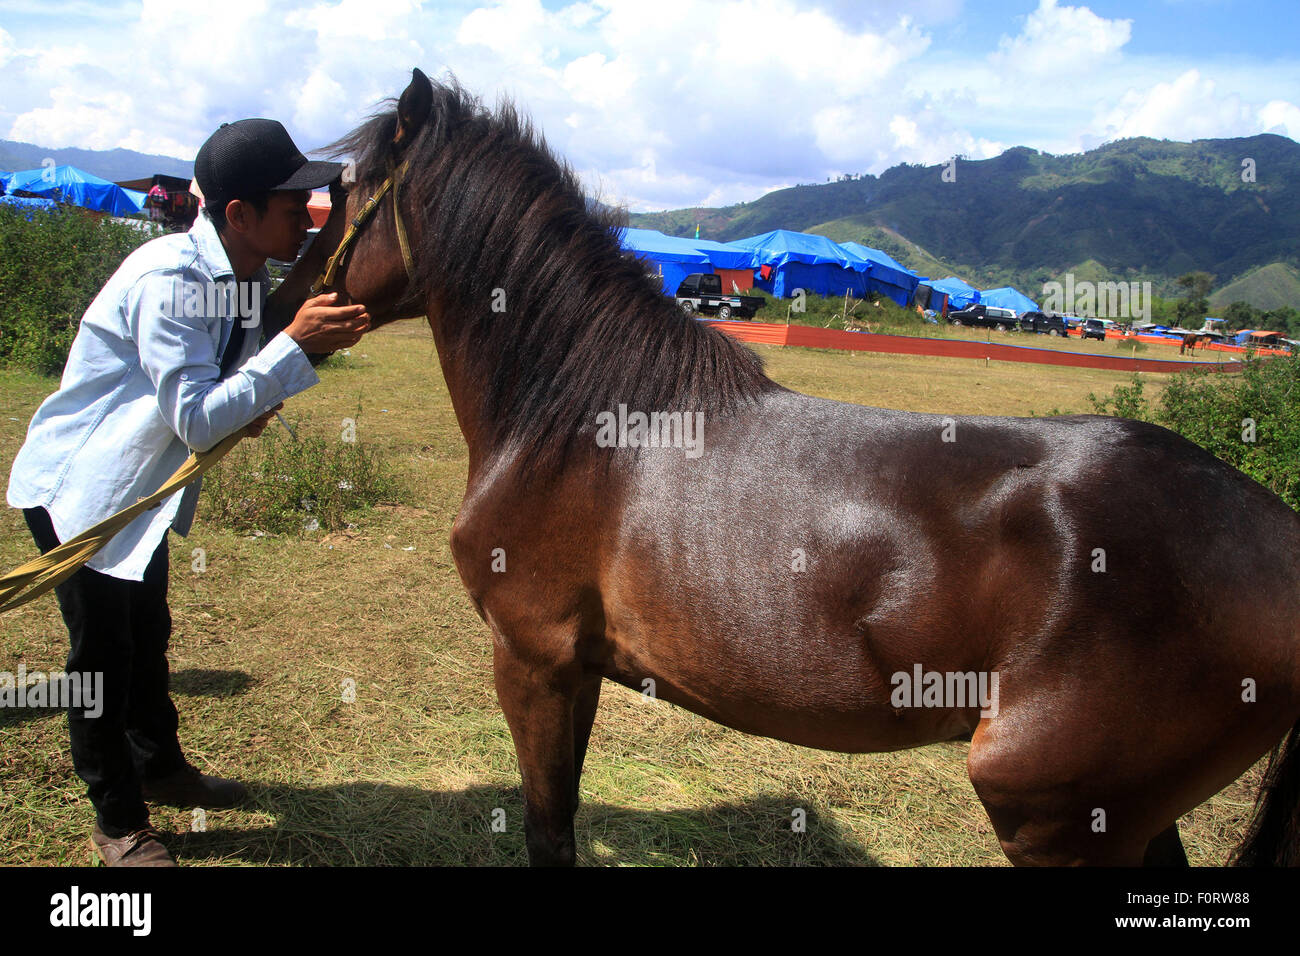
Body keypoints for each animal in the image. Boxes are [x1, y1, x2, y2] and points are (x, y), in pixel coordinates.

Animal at [275, 68, 1300, 867]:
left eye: (350, 189)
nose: (280, 302)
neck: (577, 424)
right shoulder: (579, 672)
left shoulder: (533, 661)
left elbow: (549, 830)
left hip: (1052, 817)